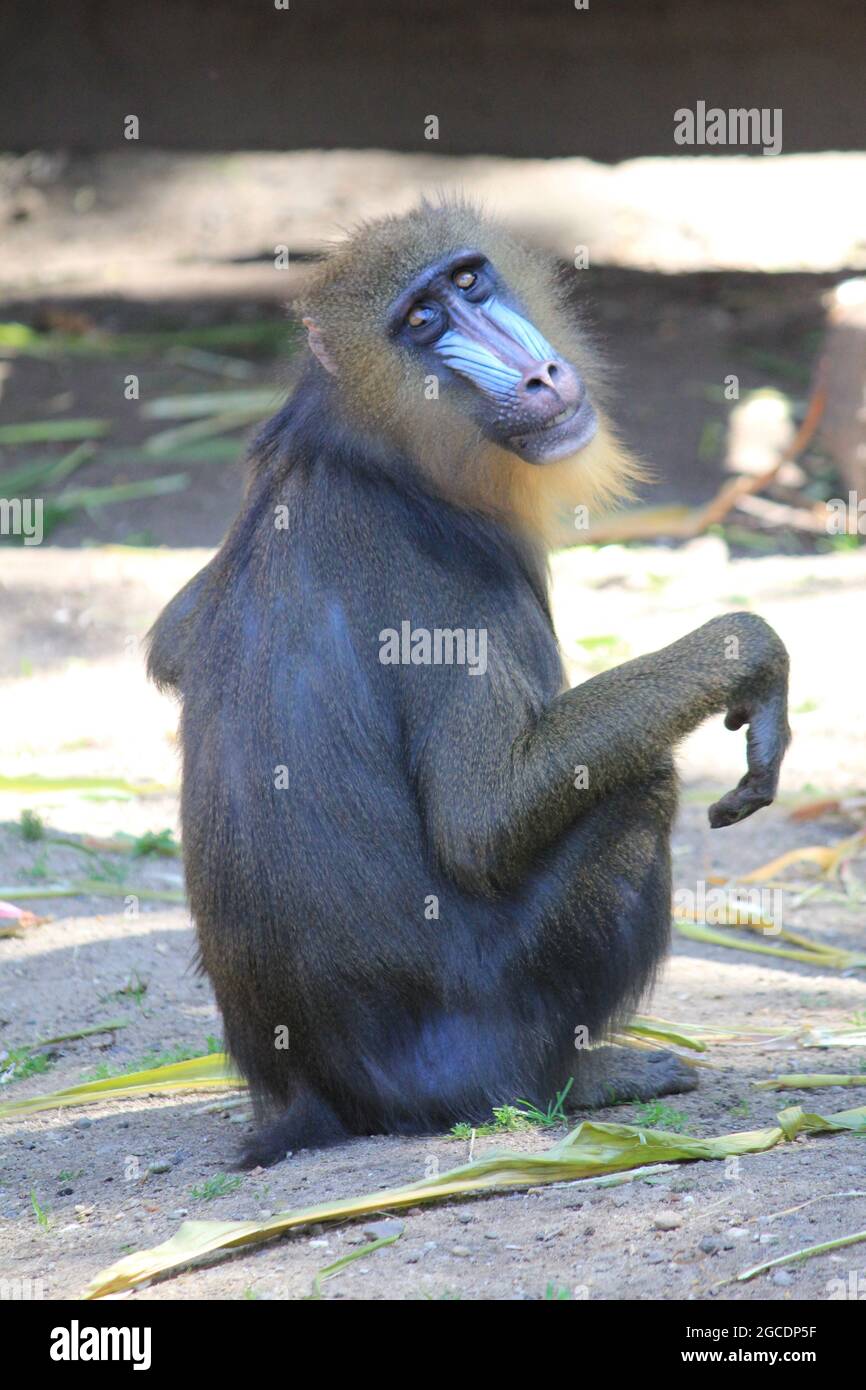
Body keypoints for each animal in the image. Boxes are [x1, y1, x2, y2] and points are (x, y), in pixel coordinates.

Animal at [148, 200, 790, 1167]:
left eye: (467, 282)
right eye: (422, 323)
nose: (539, 376)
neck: (372, 444)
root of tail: (318, 1097)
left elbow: (174, 643)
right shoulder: (451, 588)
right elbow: (479, 819)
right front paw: (748, 651)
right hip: (503, 1021)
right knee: (640, 785)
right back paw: (581, 1079)